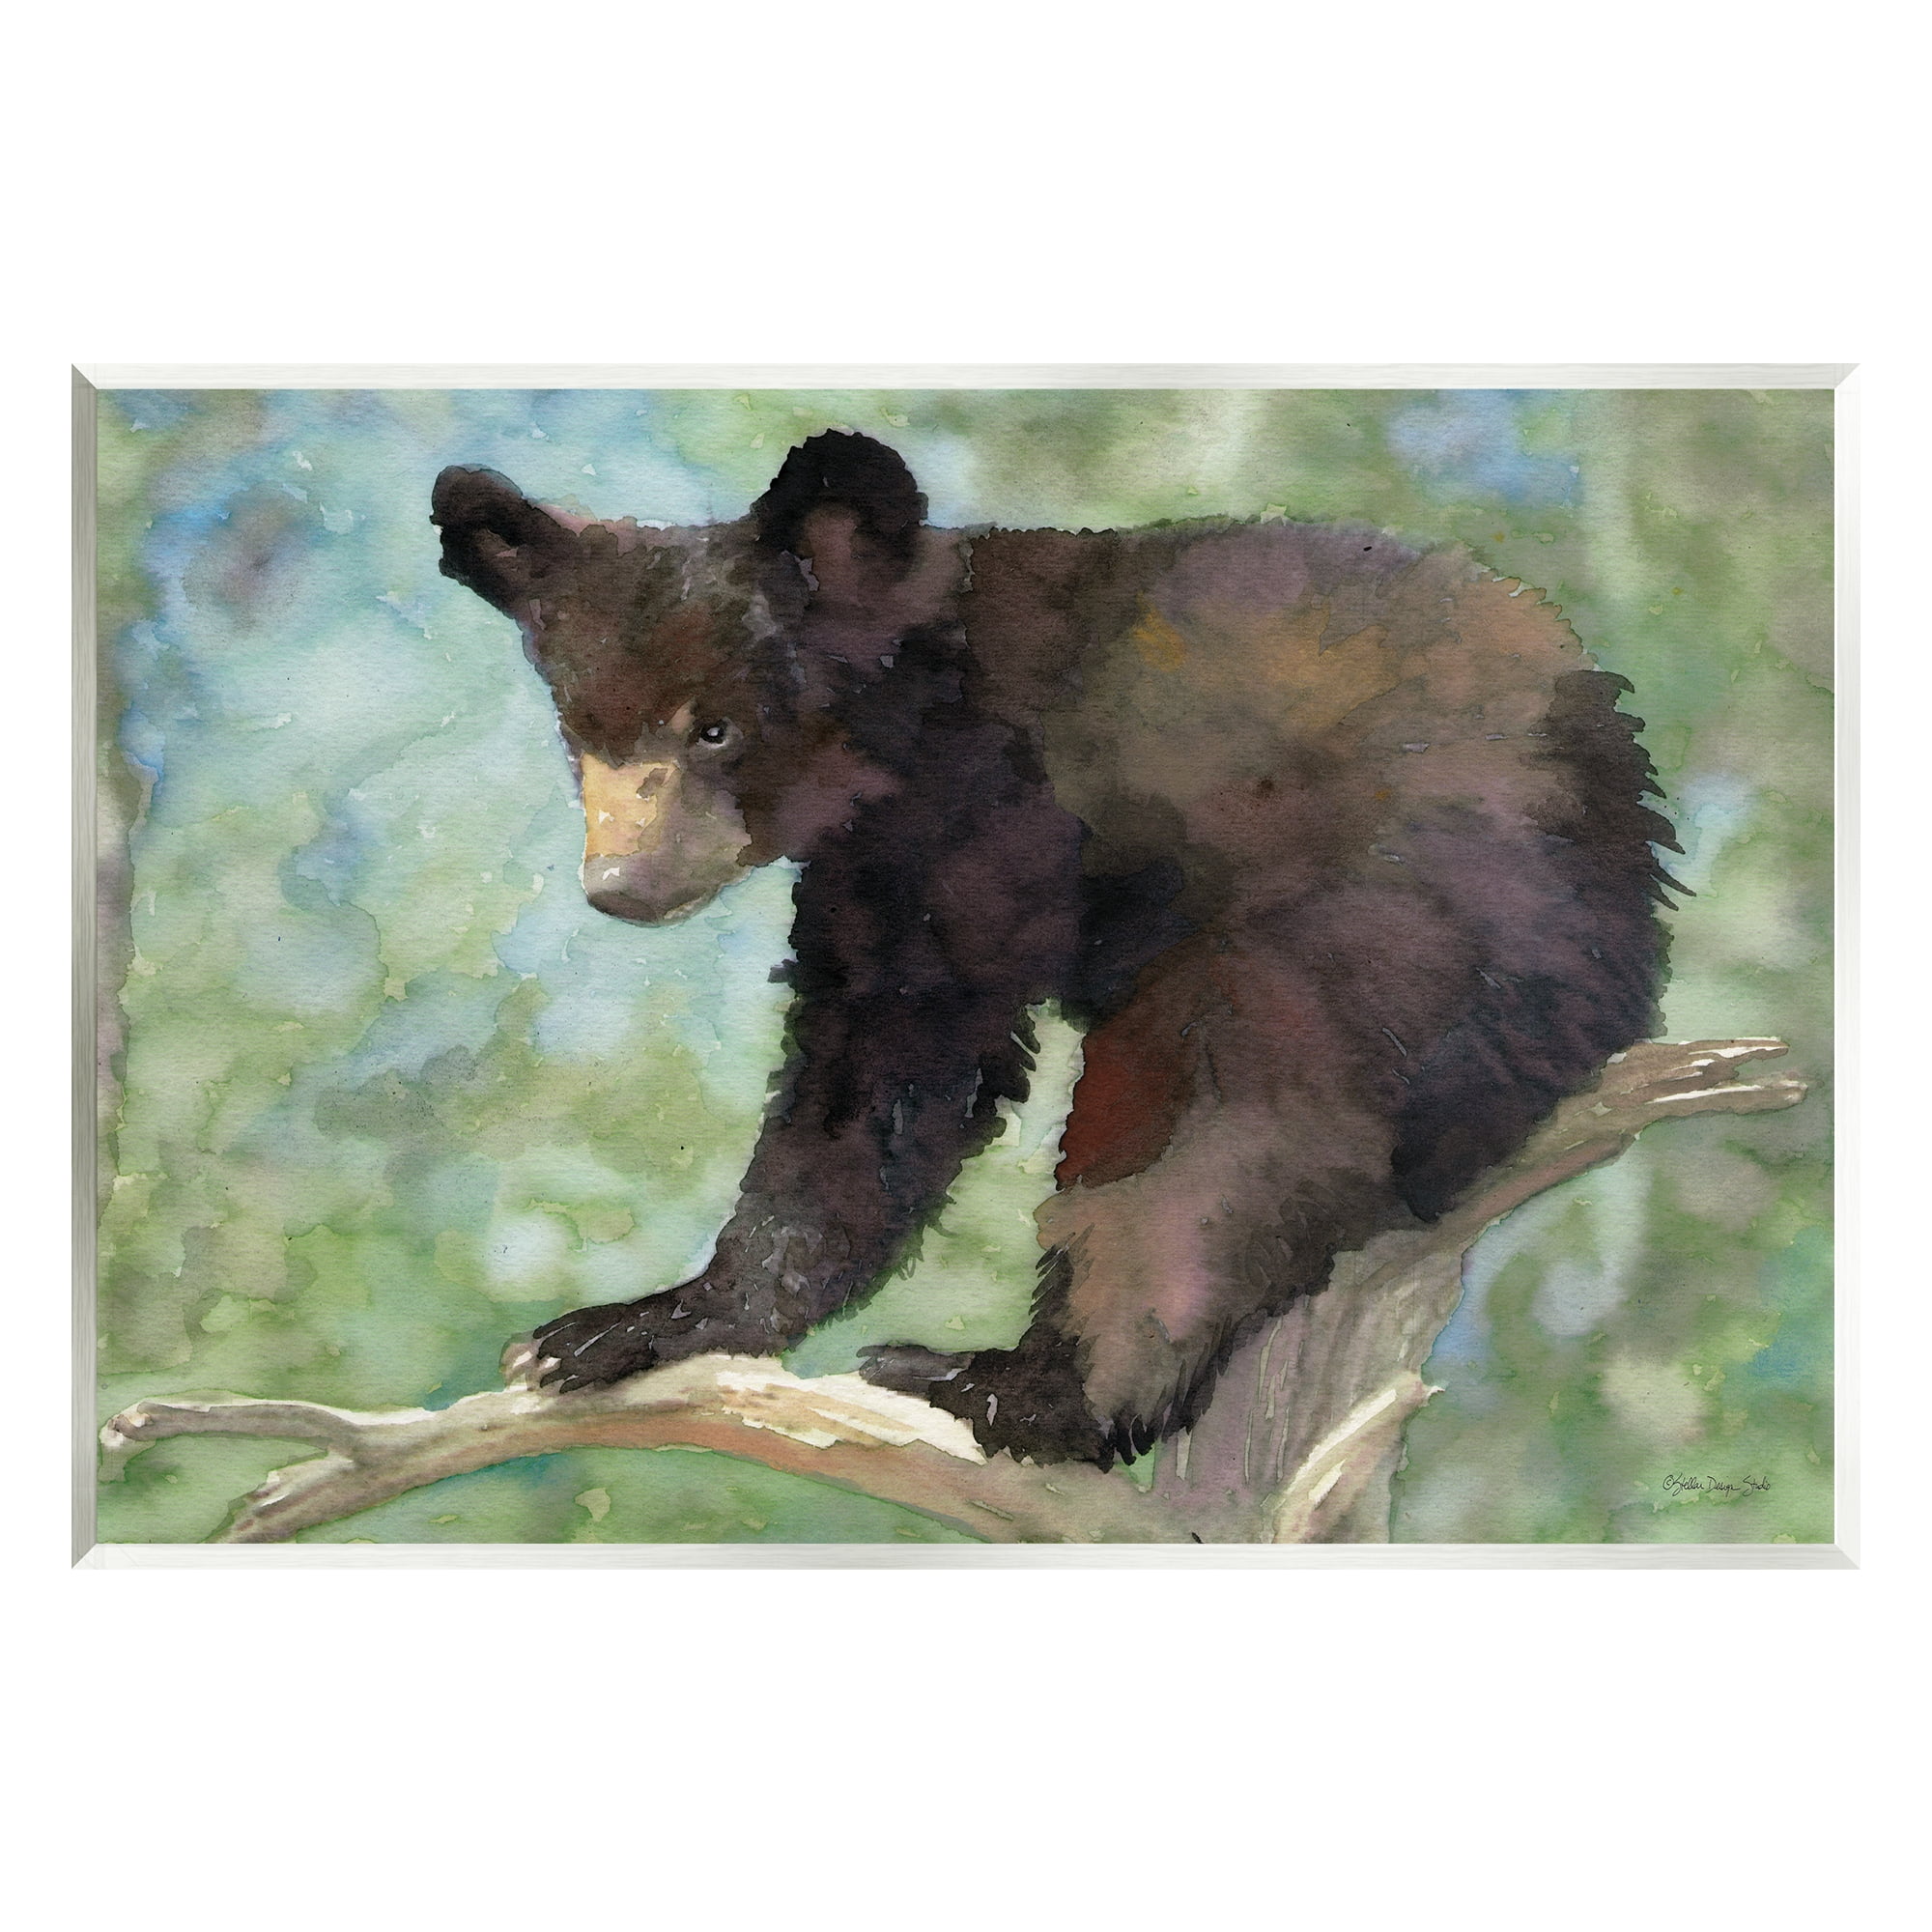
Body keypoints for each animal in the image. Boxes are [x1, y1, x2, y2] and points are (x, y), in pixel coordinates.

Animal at [431, 430, 1675, 1467]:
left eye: (717, 726)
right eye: (585, 732)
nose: (622, 887)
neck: (911, 710)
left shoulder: (995, 812)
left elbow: (911, 1049)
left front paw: (628, 1322)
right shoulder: (873, 857)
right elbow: (867, 1065)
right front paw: (640, 1322)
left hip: (1392, 913)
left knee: (1218, 1131)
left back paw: (1015, 1387)